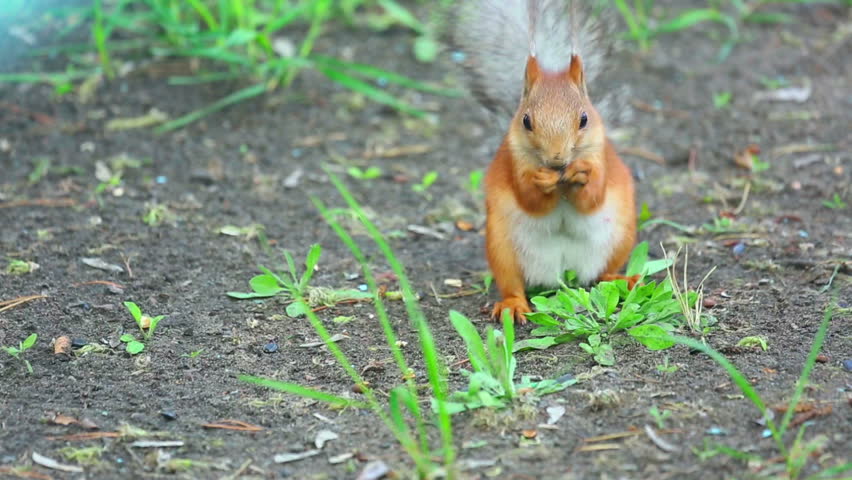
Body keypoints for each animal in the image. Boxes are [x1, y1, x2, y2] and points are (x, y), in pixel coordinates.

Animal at [453, 0, 638, 323]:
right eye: (526, 120)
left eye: (584, 119)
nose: (557, 160)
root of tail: (561, 274)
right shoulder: (515, 162)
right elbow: (530, 199)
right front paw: (541, 181)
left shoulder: (601, 158)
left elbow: (593, 196)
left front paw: (581, 174)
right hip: (501, 248)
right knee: (512, 284)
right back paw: (513, 305)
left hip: (621, 235)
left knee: (603, 275)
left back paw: (624, 279)